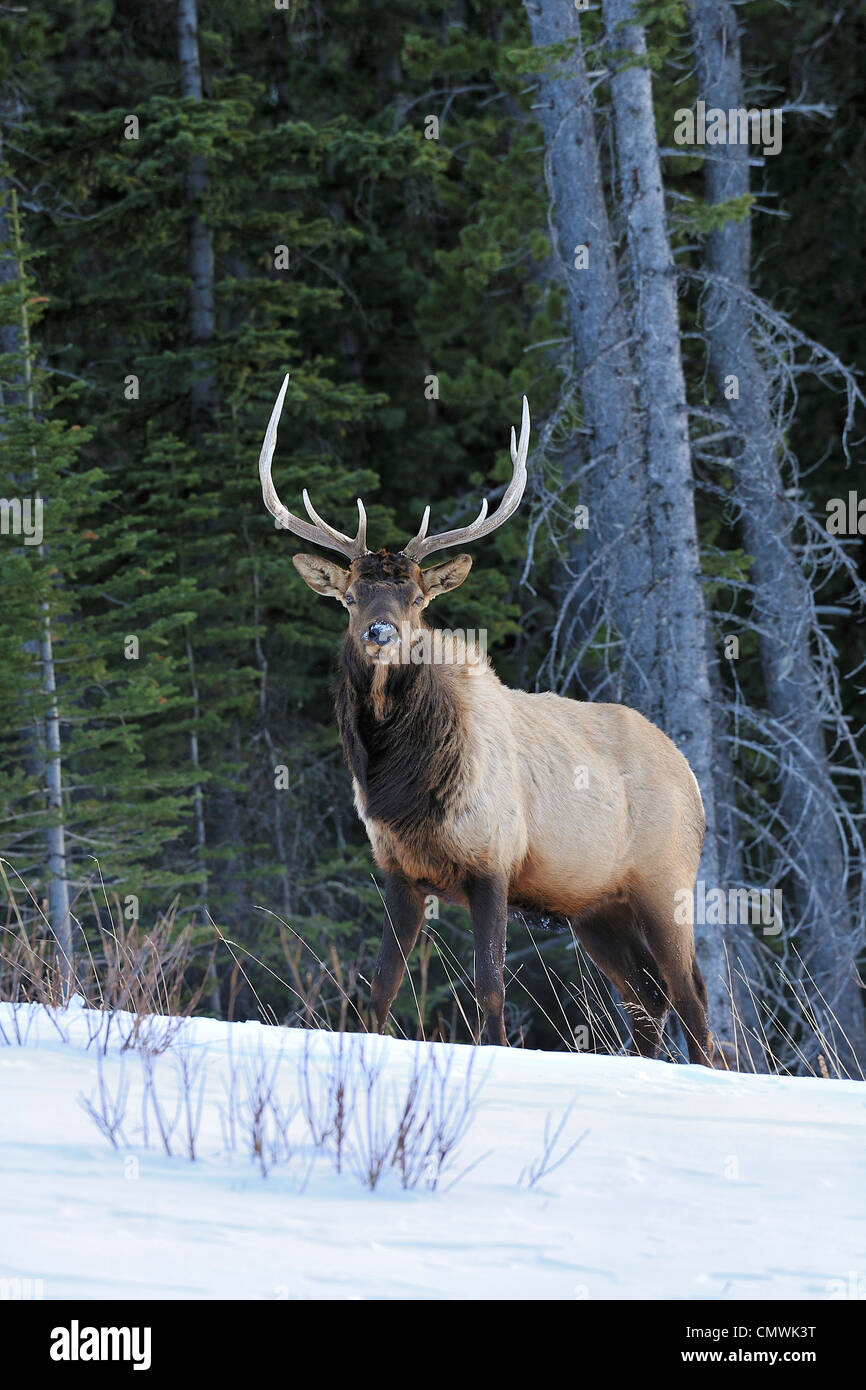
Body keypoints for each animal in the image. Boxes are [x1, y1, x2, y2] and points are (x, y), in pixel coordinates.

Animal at [260, 375, 715, 1065]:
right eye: (351, 596)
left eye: (417, 598)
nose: (380, 632)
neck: (402, 789)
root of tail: (690, 776)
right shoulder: (400, 871)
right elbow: (380, 988)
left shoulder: (493, 862)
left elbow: (491, 988)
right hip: (595, 907)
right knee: (647, 998)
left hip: (668, 880)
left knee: (694, 998)